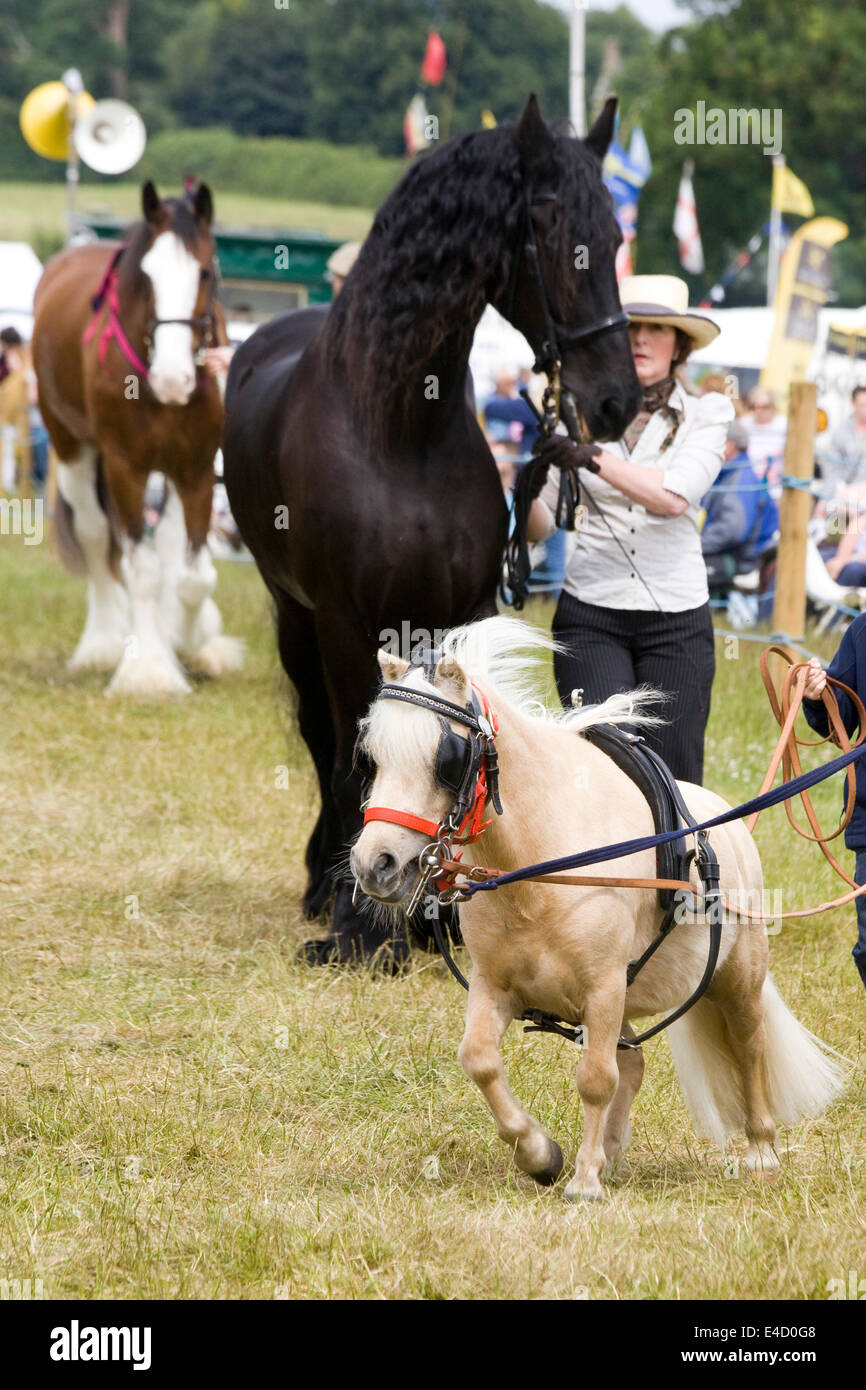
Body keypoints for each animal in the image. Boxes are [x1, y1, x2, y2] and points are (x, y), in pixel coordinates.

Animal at [32, 180, 243, 696]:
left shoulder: (196, 468)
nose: (172, 378)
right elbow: (141, 571)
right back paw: (105, 641)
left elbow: (193, 575)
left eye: (204, 271)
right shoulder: (125, 466)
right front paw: (149, 669)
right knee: (95, 535)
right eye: (147, 277)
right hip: (73, 449)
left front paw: (190, 639)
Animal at [223, 94, 642, 966]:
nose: (618, 399)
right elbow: (354, 757)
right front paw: (357, 923)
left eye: (618, 240)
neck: (400, 431)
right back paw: (322, 883)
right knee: (318, 733)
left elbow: (460, 736)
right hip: (293, 618)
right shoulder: (345, 623)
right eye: (551, 229)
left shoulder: (461, 610)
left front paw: (436, 913)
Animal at [350, 617, 847, 1200]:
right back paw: (611, 1153)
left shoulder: (604, 985)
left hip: (737, 977)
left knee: (748, 1047)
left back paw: (761, 1151)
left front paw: (584, 1180)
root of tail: (728, 822)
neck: (541, 873)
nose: (375, 864)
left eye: (446, 759)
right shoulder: (494, 984)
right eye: (370, 755)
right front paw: (540, 1155)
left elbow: (594, 1079)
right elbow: (480, 1060)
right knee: (632, 1063)